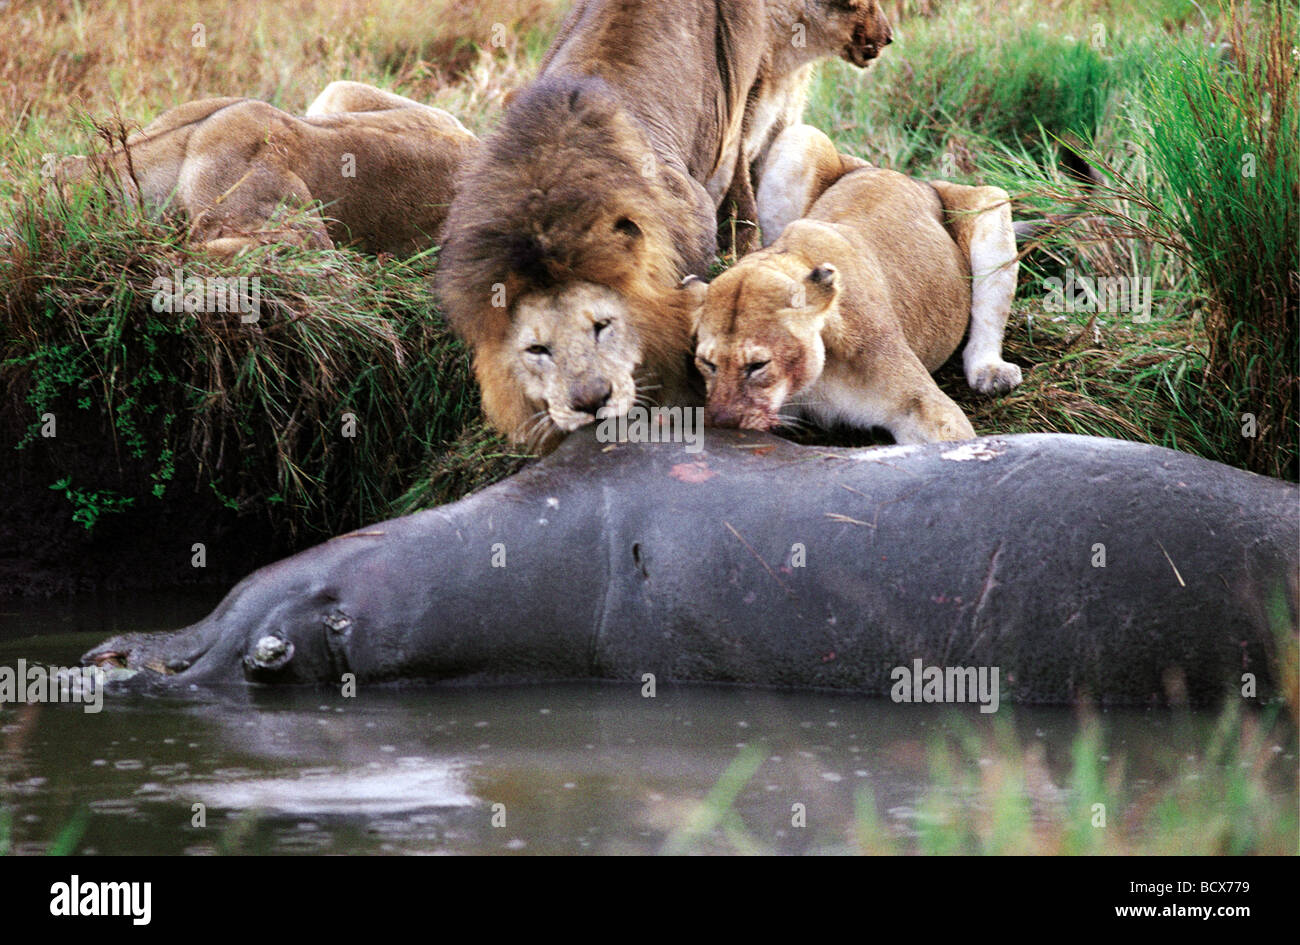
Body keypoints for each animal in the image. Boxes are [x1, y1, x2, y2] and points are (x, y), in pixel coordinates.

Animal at [686, 125, 1023, 444]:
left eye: (758, 365)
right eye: (707, 363)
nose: (724, 424)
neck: (812, 381)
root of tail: (899, 173)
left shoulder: (926, 406)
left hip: (989, 202)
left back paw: (992, 373)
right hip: (800, 138)